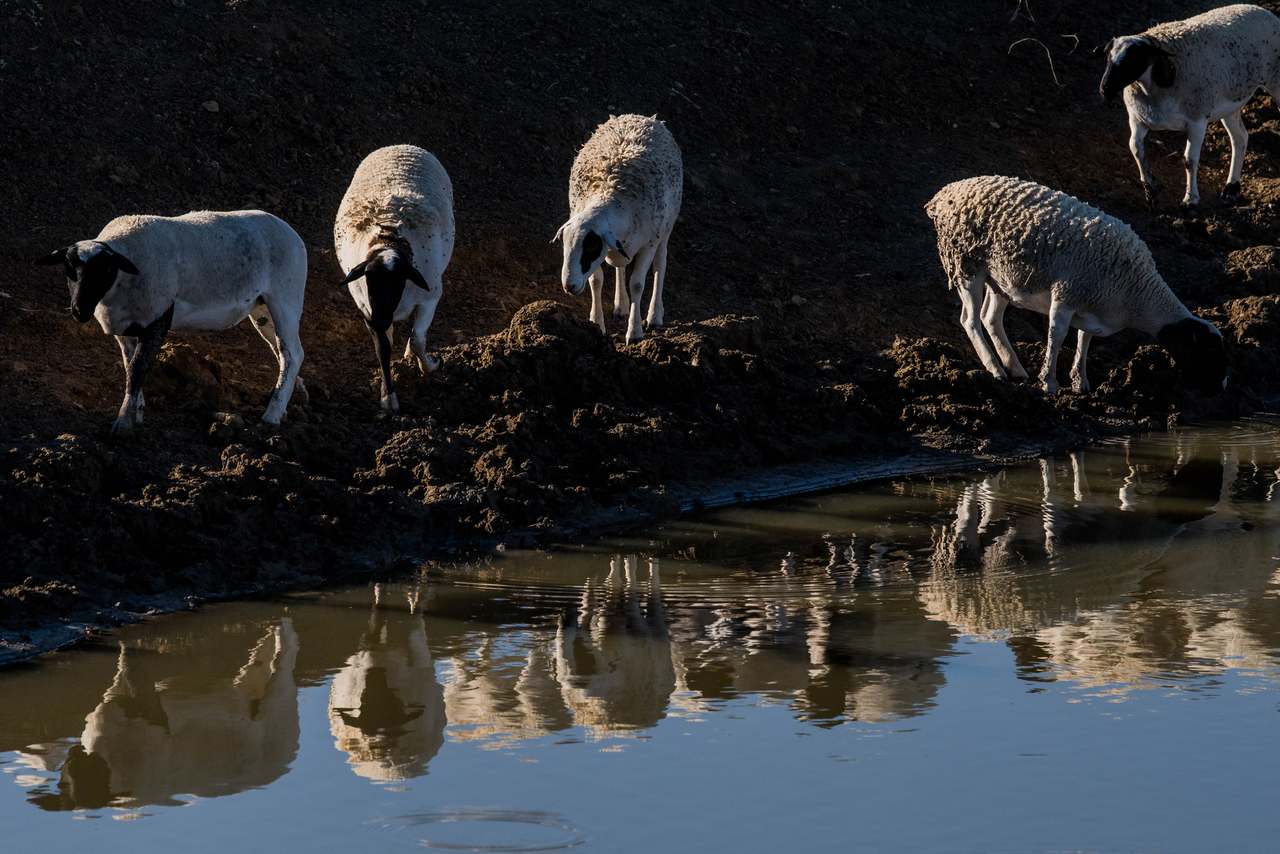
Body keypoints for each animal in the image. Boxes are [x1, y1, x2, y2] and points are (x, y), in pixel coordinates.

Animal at [36, 210, 307, 433]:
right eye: (69, 267)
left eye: (105, 269)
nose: (79, 311)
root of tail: (289, 230)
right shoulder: (125, 328)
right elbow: (130, 367)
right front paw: (136, 411)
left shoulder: (158, 317)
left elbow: (137, 369)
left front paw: (123, 423)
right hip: (262, 308)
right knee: (282, 352)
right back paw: (287, 402)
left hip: (286, 296)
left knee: (292, 353)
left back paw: (271, 415)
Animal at [334, 144, 454, 414]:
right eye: (369, 279)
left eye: (399, 281)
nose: (380, 319)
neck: (389, 242)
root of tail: (400, 145)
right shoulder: (367, 308)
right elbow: (383, 349)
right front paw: (388, 397)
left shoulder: (429, 297)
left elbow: (418, 340)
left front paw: (429, 366)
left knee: (417, 335)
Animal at [552, 114, 683, 344]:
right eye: (565, 246)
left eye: (590, 247)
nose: (569, 286)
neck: (611, 193)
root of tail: (643, 117)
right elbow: (596, 280)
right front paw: (597, 323)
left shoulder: (648, 244)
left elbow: (637, 284)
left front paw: (634, 333)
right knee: (620, 266)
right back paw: (621, 305)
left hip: (665, 229)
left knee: (660, 265)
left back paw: (654, 315)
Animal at [924, 175, 1228, 395]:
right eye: (1207, 352)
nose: (1222, 388)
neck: (1136, 293)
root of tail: (944, 193)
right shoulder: (1066, 293)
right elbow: (1057, 336)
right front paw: (1049, 383)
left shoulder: (1090, 300)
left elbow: (1084, 340)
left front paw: (1080, 382)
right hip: (966, 266)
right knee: (970, 320)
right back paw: (996, 370)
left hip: (1001, 278)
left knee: (991, 318)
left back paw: (1015, 368)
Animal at [1096, 4, 1280, 207]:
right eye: (1108, 58)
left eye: (1134, 59)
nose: (1105, 89)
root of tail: (1262, 10)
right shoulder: (1138, 119)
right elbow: (1135, 148)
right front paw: (1150, 189)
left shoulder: (1197, 121)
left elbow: (1189, 160)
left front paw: (1190, 199)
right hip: (1230, 105)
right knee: (1240, 138)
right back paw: (1231, 189)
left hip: (1275, 81)